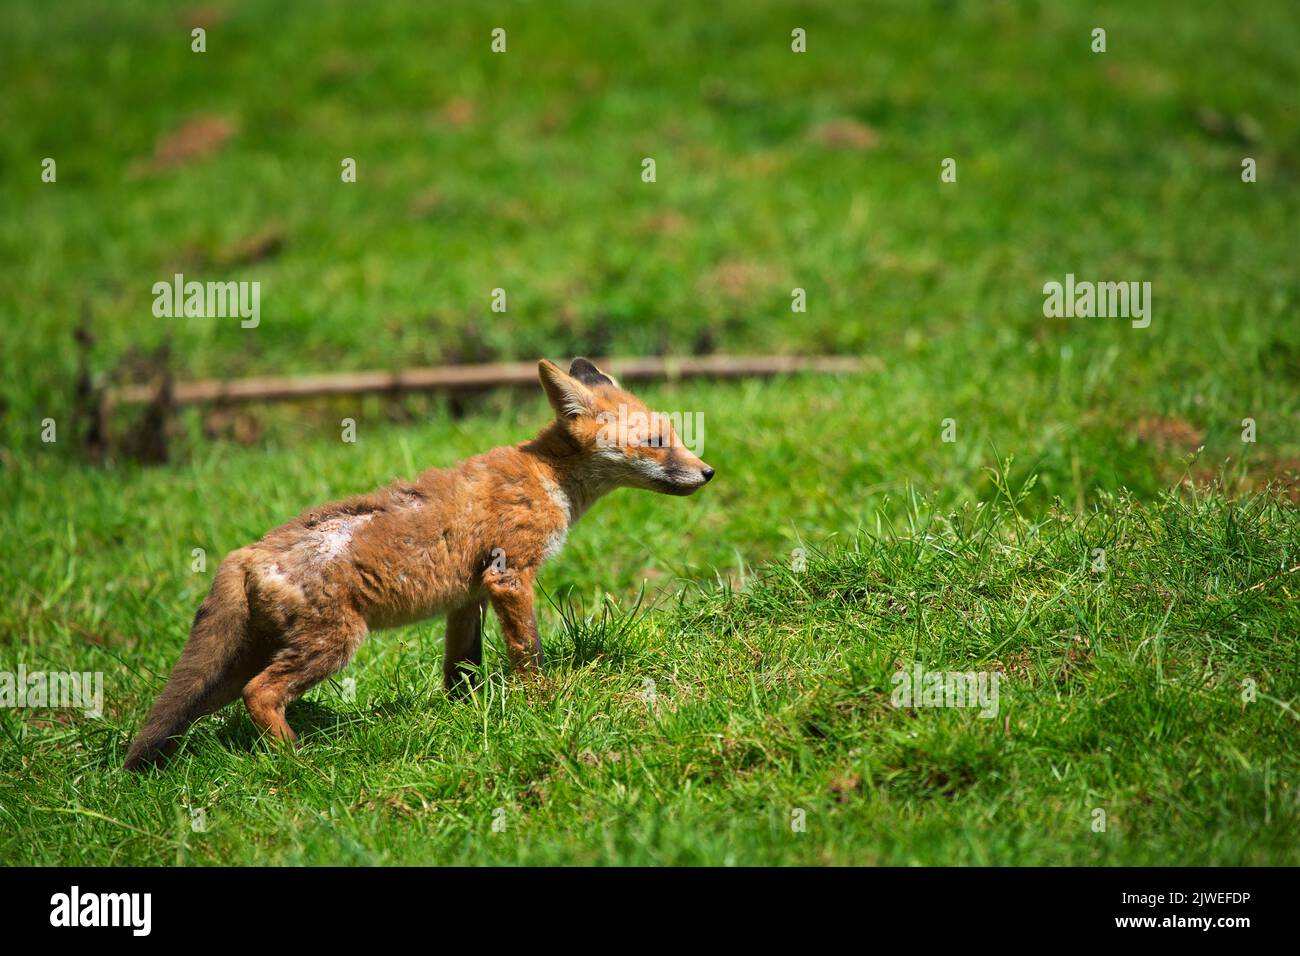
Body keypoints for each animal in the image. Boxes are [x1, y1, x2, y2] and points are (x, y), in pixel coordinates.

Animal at [123, 358, 714, 770]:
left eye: (674, 437)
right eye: (657, 442)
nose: (708, 472)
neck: (547, 477)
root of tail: (245, 552)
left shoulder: (468, 597)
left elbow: (462, 670)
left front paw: (462, 715)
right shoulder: (509, 576)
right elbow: (529, 654)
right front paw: (543, 703)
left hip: (237, 664)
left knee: (188, 711)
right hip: (332, 645)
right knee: (261, 695)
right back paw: (297, 762)